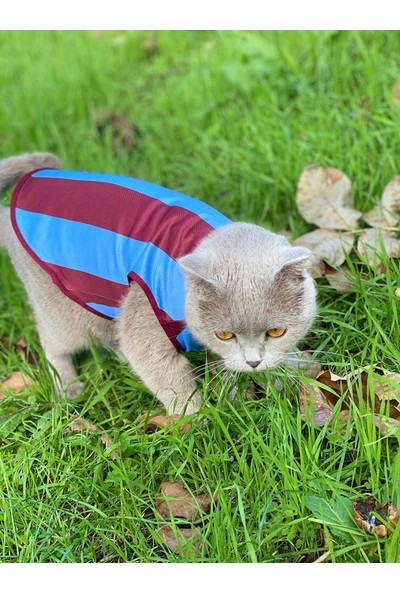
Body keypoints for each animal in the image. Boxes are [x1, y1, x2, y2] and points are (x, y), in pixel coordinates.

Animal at [0, 153, 317, 415]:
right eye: (225, 335)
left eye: (276, 331)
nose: (253, 363)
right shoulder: (144, 323)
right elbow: (172, 383)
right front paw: (198, 423)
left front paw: (299, 364)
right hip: (64, 309)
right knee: (54, 343)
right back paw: (69, 387)